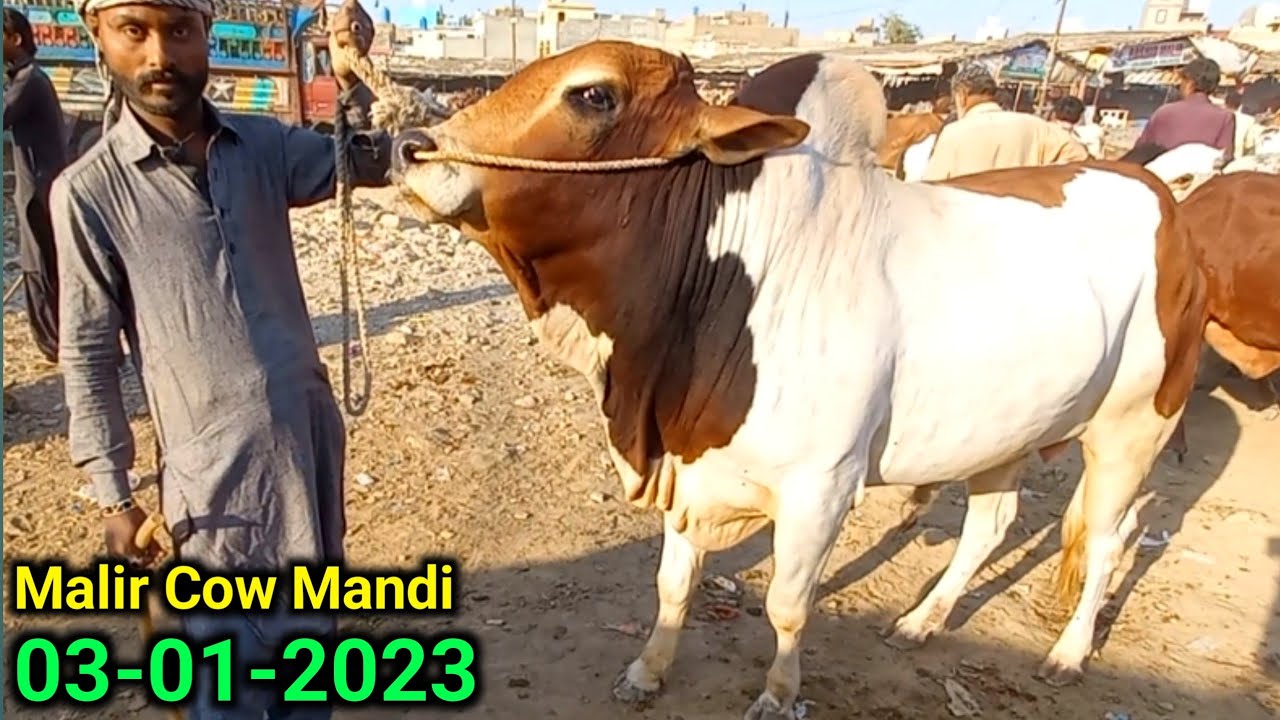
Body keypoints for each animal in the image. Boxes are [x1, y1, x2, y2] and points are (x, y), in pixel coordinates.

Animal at [386, 41, 1207, 719]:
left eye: (594, 95)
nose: (408, 148)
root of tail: (1160, 192)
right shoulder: (691, 464)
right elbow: (673, 584)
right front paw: (648, 671)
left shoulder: (822, 487)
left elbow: (787, 603)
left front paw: (780, 695)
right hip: (1007, 433)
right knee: (991, 526)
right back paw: (923, 620)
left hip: (1131, 430)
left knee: (1108, 542)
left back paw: (1067, 651)